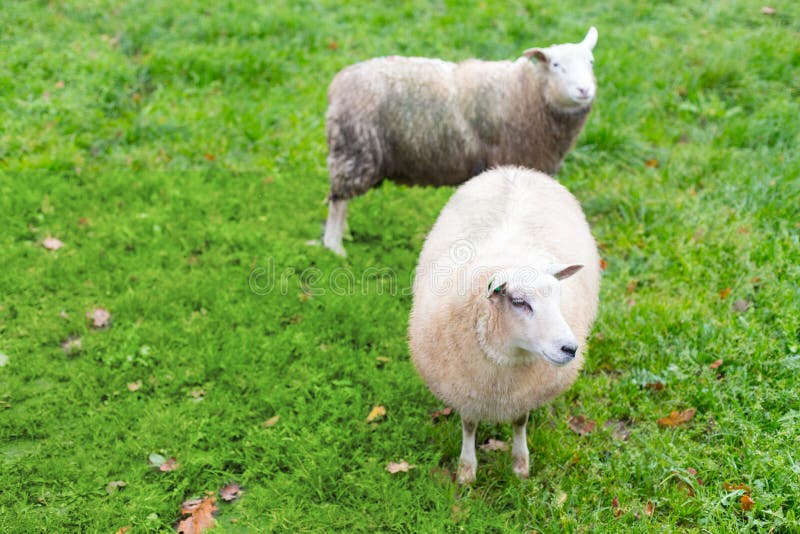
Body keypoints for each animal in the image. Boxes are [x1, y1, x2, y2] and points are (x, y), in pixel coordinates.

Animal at [322, 27, 598, 256]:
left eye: (591, 62)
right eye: (556, 64)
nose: (584, 90)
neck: (528, 93)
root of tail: (339, 83)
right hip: (355, 148)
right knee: (338, 200)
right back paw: (334, 246)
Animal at [408, 166, 600, 483]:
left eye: (558, 295)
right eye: (520, 302)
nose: (570, 349)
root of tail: (514, 169)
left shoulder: (524, 394)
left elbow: (520, 422)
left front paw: (520, 465)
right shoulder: (465, 388)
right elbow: (469, 425)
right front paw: (466, 471)